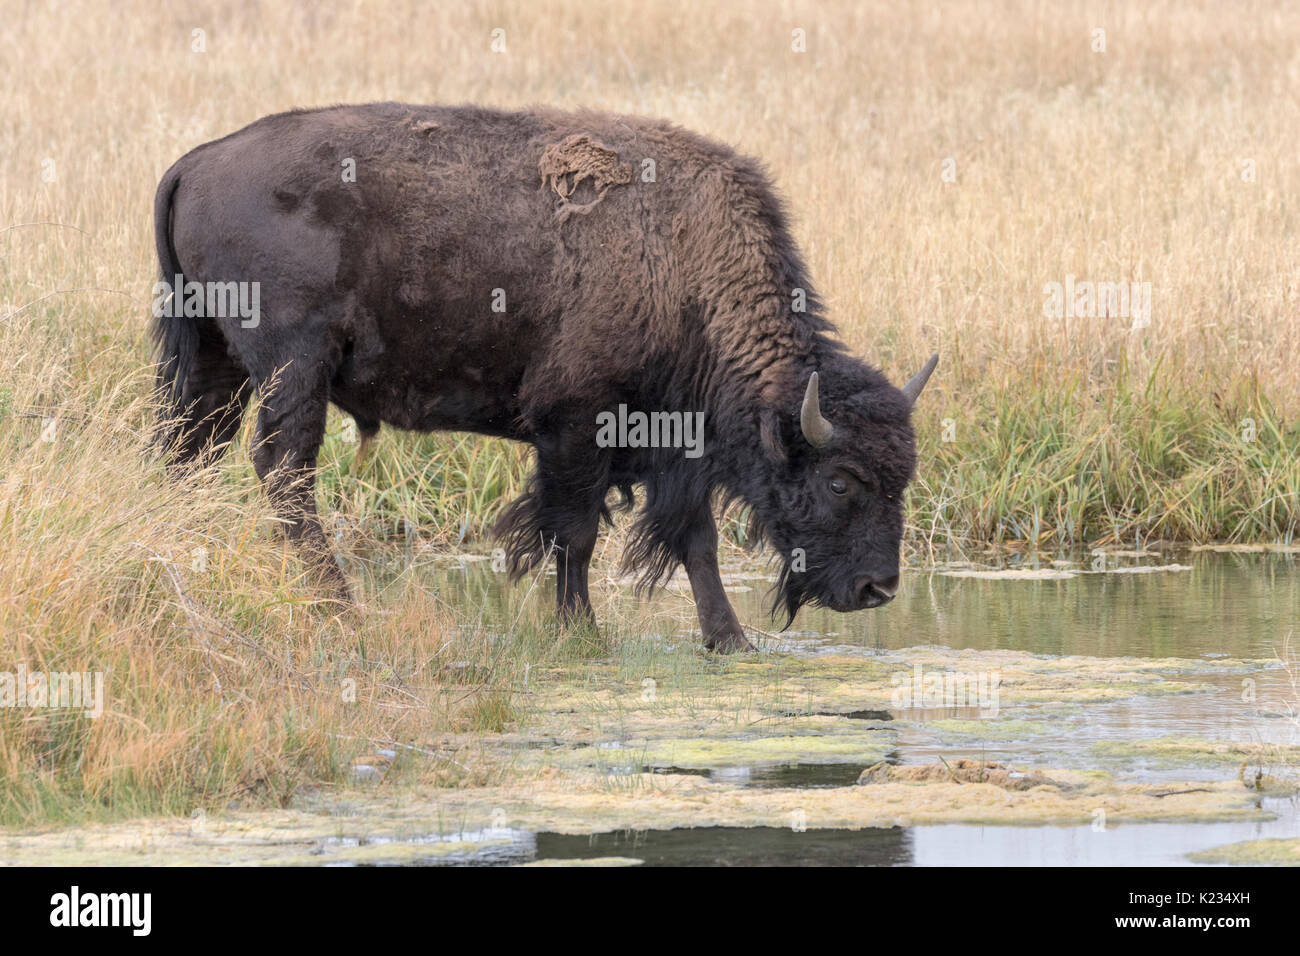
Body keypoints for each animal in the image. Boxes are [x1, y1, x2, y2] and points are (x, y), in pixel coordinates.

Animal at [152, 103, 937, 652]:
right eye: (840, 482)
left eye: (904, 477)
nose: (879, 587)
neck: (683, 262)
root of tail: (196, 161)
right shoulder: (576, 427)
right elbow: (575, 533)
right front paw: (581, 629)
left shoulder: (672, 447)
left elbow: (695, 540)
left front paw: (730, 640)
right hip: (294, 366)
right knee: (284, 469)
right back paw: (340, 607)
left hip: (213, 363)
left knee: (188, 455)